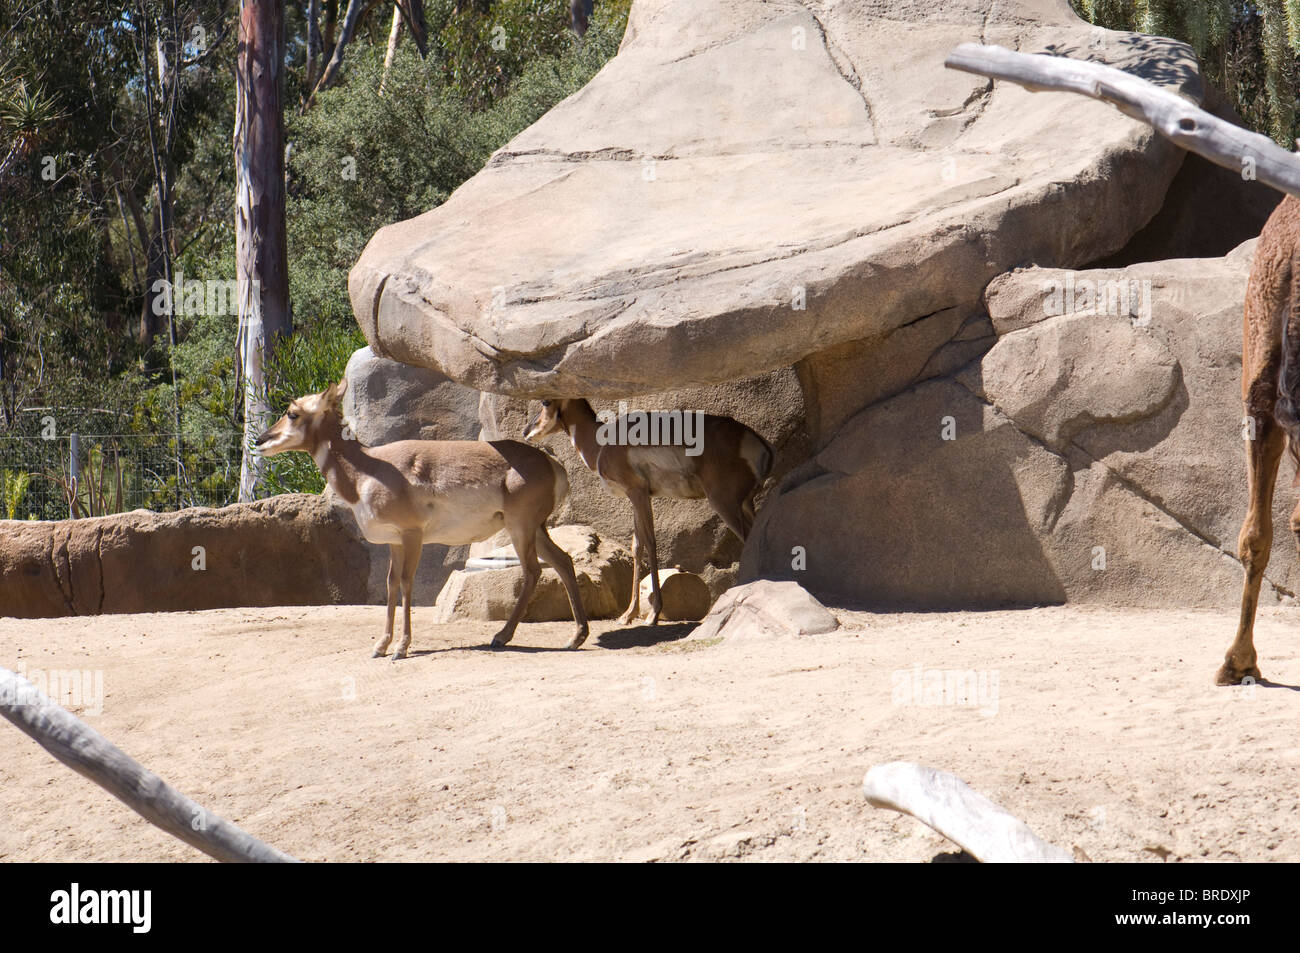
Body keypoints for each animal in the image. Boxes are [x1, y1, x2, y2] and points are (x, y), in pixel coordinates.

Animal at [255, 378, 589, 658]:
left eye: (292, 413)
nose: (260, 440)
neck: (369, 469)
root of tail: (551, 463)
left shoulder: (412, 535)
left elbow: (406, 582)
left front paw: (401, 647)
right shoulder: (394, 542)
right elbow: (391, 583)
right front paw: (381, 646)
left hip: (521, 527)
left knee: (533, 570)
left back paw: (501, 636)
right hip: (535, 529)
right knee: (562, 561)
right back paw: (574, 638)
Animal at [524, 398, 773, 626]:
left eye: (545, 402)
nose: (526, 431)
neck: (604, 442)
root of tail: (755, 439)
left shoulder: (637, 493)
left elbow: (651, 542)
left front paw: (653, 614)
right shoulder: (639, 498)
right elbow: (637, 546)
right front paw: (627, 615)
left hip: (724, 503)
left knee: (748, 538)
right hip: (745, 505)